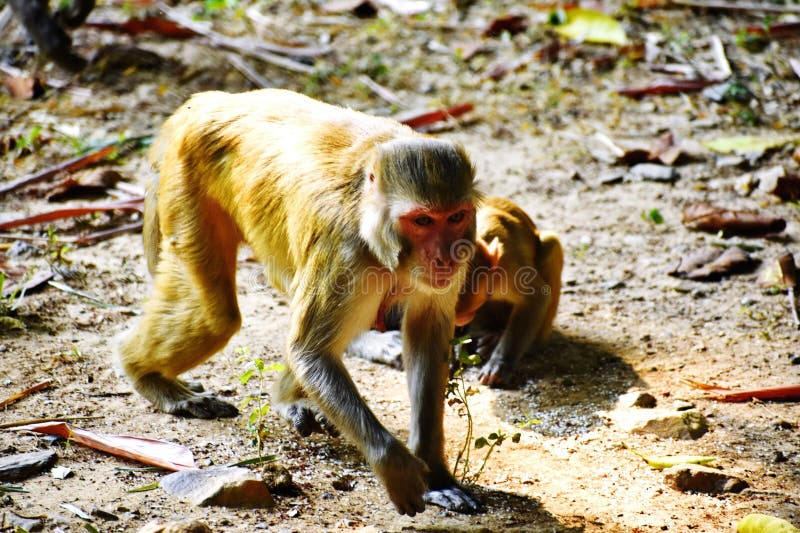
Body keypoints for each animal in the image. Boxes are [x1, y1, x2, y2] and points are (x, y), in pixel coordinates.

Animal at [116, 89, 481, 516]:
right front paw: (392, 463)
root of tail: (211, 101)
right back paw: (145, 374)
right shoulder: (345, 253)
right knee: (218, 317)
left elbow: (426, 336)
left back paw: (287, 399)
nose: (446, 257)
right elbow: (310, 353)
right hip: (186, 180)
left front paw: (436, 474)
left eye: (455, 217)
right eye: (423, 221)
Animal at [347, 196, 562, 388]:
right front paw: (450, 355)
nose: (463, 321)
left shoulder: (507, 270)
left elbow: (537, 296)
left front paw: (500, 364)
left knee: (552, 245)